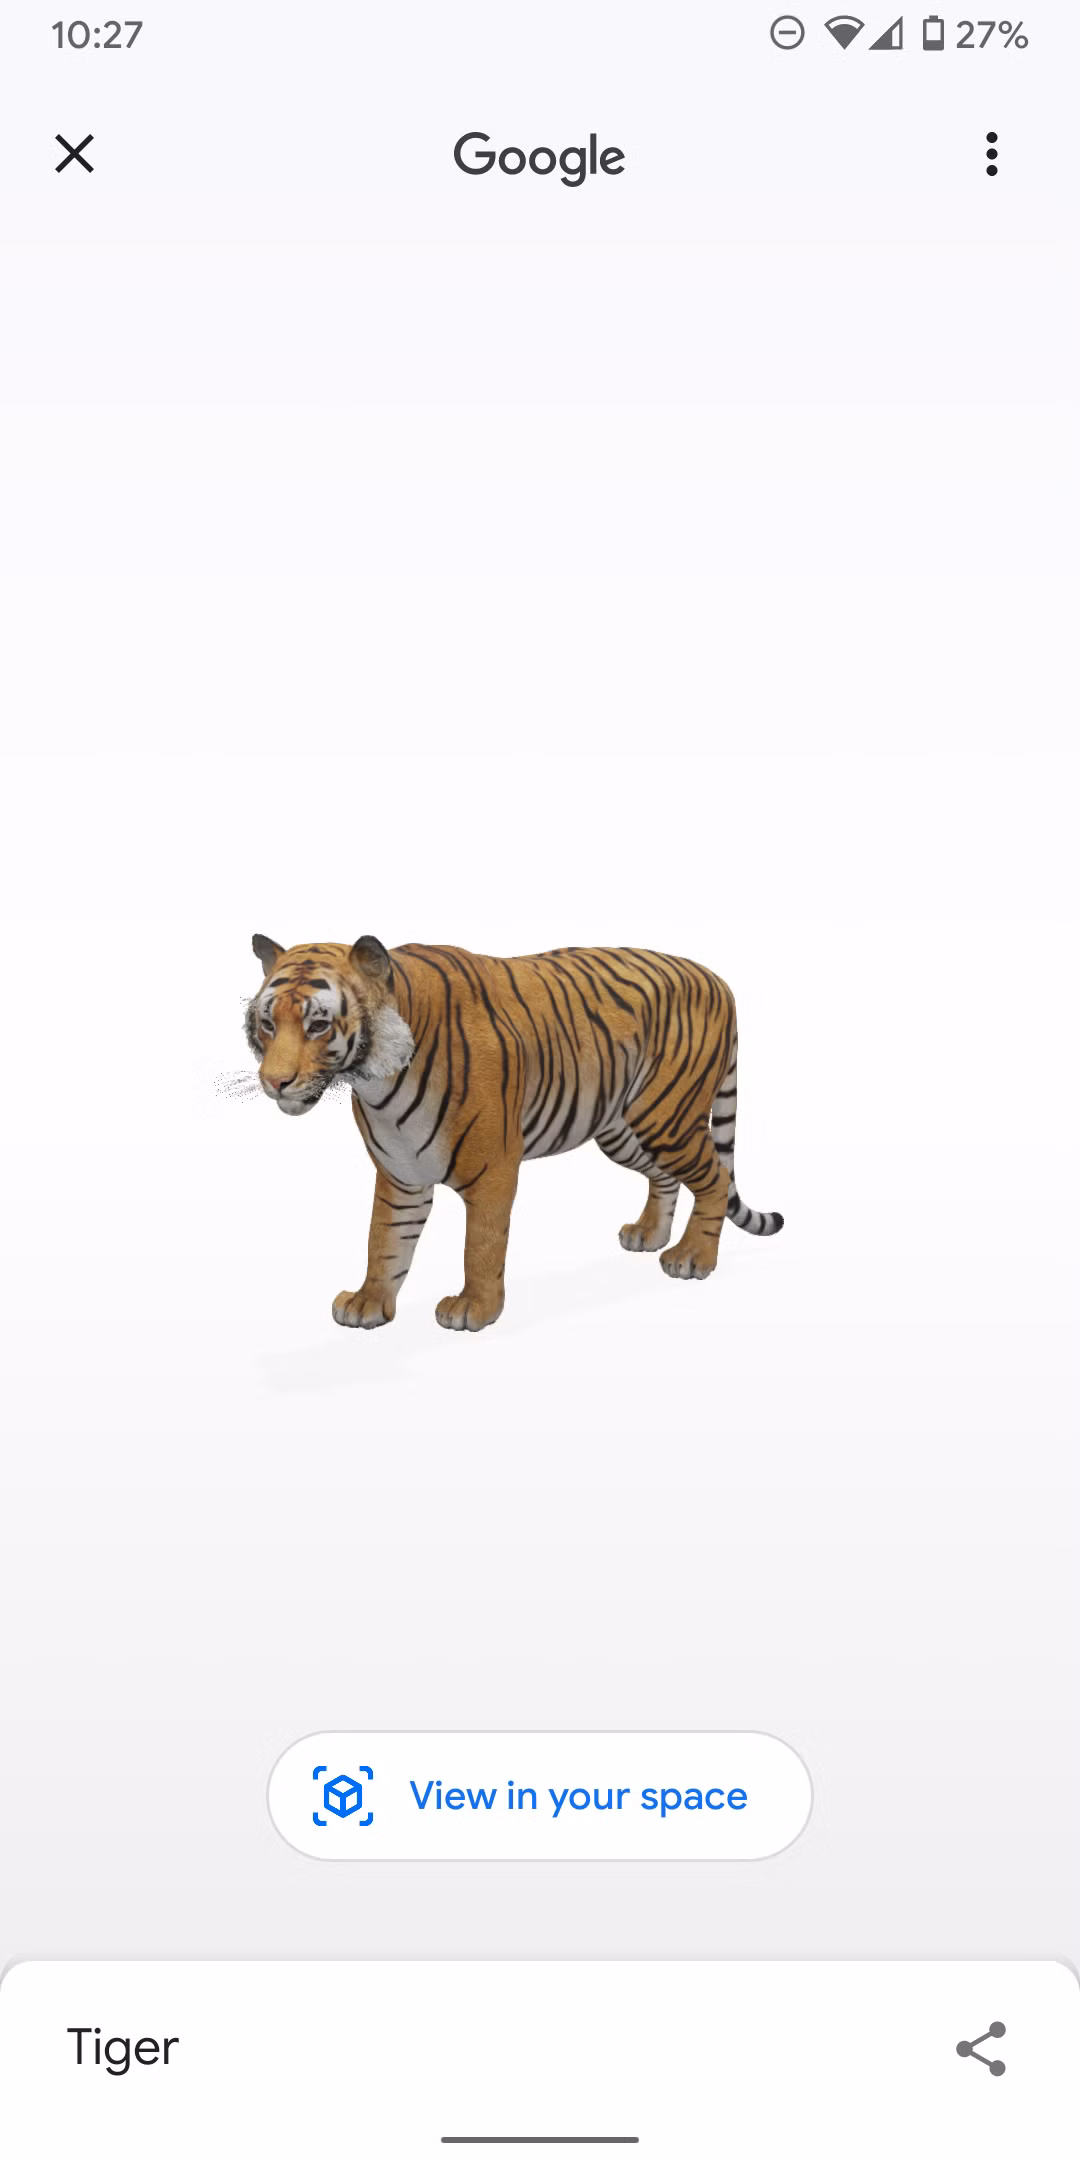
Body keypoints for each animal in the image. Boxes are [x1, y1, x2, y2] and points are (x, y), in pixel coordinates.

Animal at [246, 934, 783, 1331]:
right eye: (268, 1022)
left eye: (318, 1025)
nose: (274, 1082)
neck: (379, 1083)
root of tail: (716, 978)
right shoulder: (401, 1173)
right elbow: (385, 1241)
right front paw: (369, 1303)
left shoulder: (493, 1169)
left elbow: (481, 1245)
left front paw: (474, 1309)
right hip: (625, 1128)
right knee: (668, 1176)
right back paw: (649, 1234)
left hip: (667, 1115)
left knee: (715, 1179)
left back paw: (692, 1257)